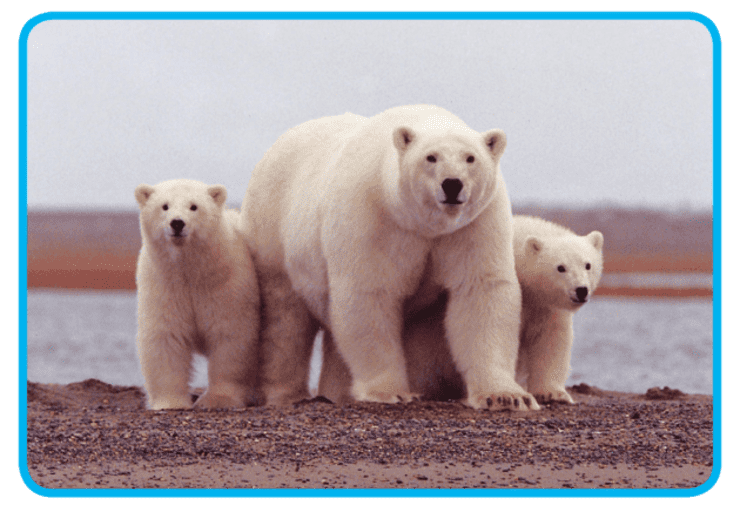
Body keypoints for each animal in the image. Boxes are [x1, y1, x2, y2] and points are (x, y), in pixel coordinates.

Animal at [134, 179, 261, 410]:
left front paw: (218, 400)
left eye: (194, 206)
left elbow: (230, 336)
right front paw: (170, 402)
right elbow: (166, 337)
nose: (177, 223)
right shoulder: (164, 286)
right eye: (164, 206)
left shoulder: (226, 285)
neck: (191, 271)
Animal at [241, 104, 538, 411]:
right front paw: (390, 392)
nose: (452, 184)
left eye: (470, 158)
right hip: (273, 231)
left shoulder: (474, 224)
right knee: (285, 320)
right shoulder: (373, 216)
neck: (422, 224)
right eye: (431, 157)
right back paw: (286, 394)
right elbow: (370, 294)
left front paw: (506, 396)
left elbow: (480, 290)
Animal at [398, 215, 604, 405]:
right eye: (560, 268)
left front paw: (553, 393)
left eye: (588, 265)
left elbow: (550, 340)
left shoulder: (546, 307)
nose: (581, 290)